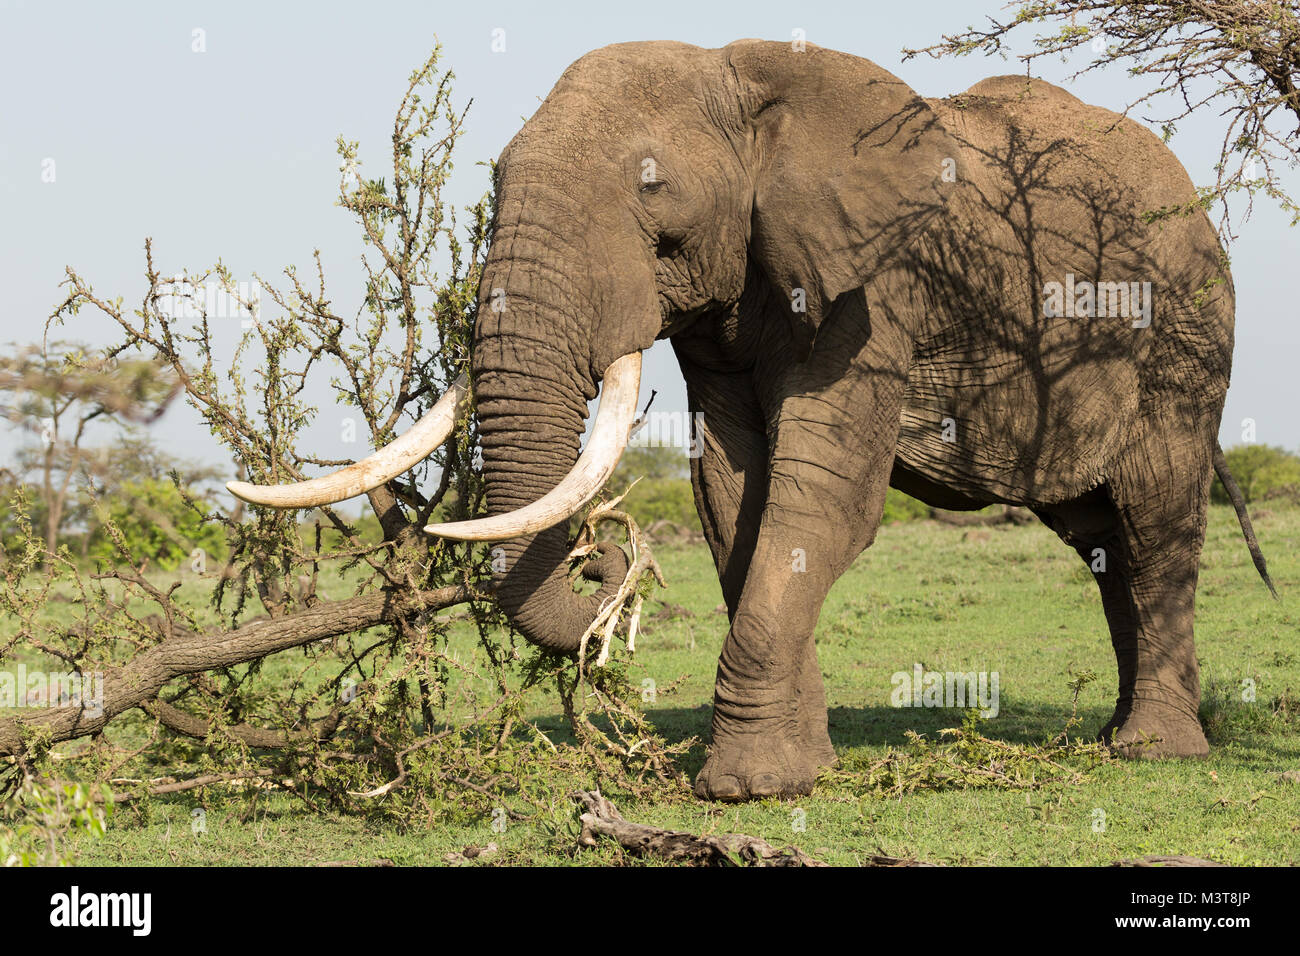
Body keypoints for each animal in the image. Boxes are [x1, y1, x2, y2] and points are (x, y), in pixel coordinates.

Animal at [230, 40, 1275, 801]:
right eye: (493, 183)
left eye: (651, 189)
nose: (607, 558)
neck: (739, 71)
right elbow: (733, 492)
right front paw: (794, 773)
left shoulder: (878, 289)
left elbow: (822, 500)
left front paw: (743, 789)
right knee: (1101, 539)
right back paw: (1116, 735)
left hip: (1187, 333)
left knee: (1156, 525)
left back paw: (1153, 753)